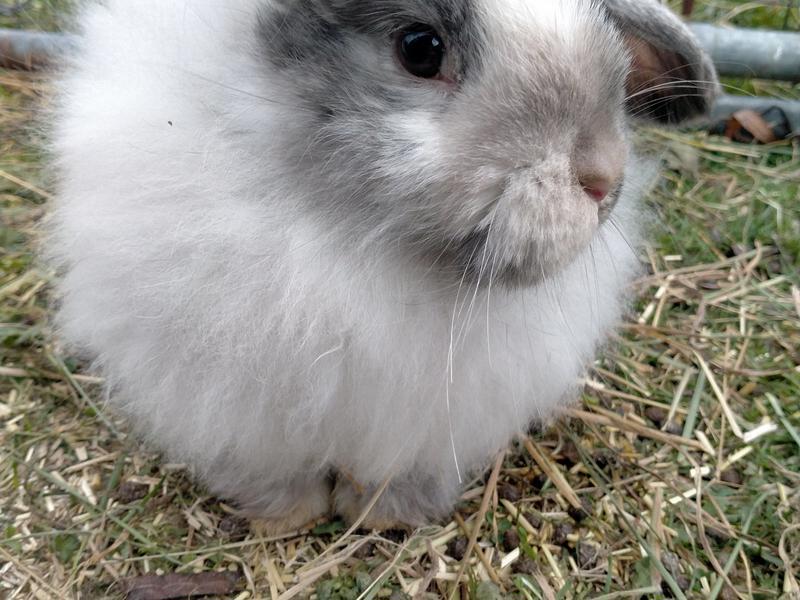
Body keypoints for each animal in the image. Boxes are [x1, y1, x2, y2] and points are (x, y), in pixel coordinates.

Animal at [49, 0, 718, 531]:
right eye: (420, 49)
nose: (602, 177)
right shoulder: (235, 406)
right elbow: (270, 470)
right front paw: (287, 517)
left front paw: (382, 518)